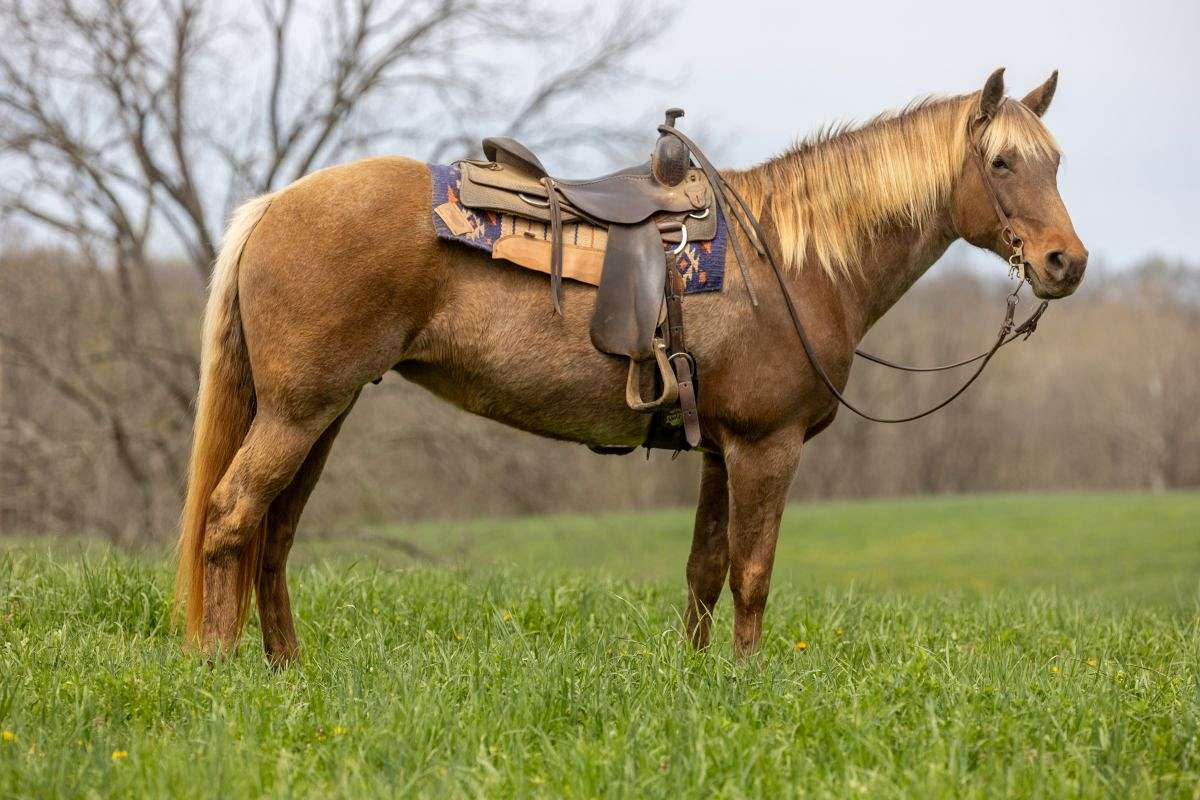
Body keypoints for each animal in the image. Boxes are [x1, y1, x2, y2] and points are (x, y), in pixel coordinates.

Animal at [174, 68, 1087, 663]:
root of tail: (274, 206)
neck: (791, 261)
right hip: (297, 413)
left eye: (1057, 161)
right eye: (1001, 163)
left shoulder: (721, 449)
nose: (1065, 263)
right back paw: (221, 672)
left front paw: (698, 683)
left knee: (274, 535)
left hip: (322, 414)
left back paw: (288, 671)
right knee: (231, 519)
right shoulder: (768, 447)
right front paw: (749, 686)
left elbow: (705, 574)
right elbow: (753, 574)